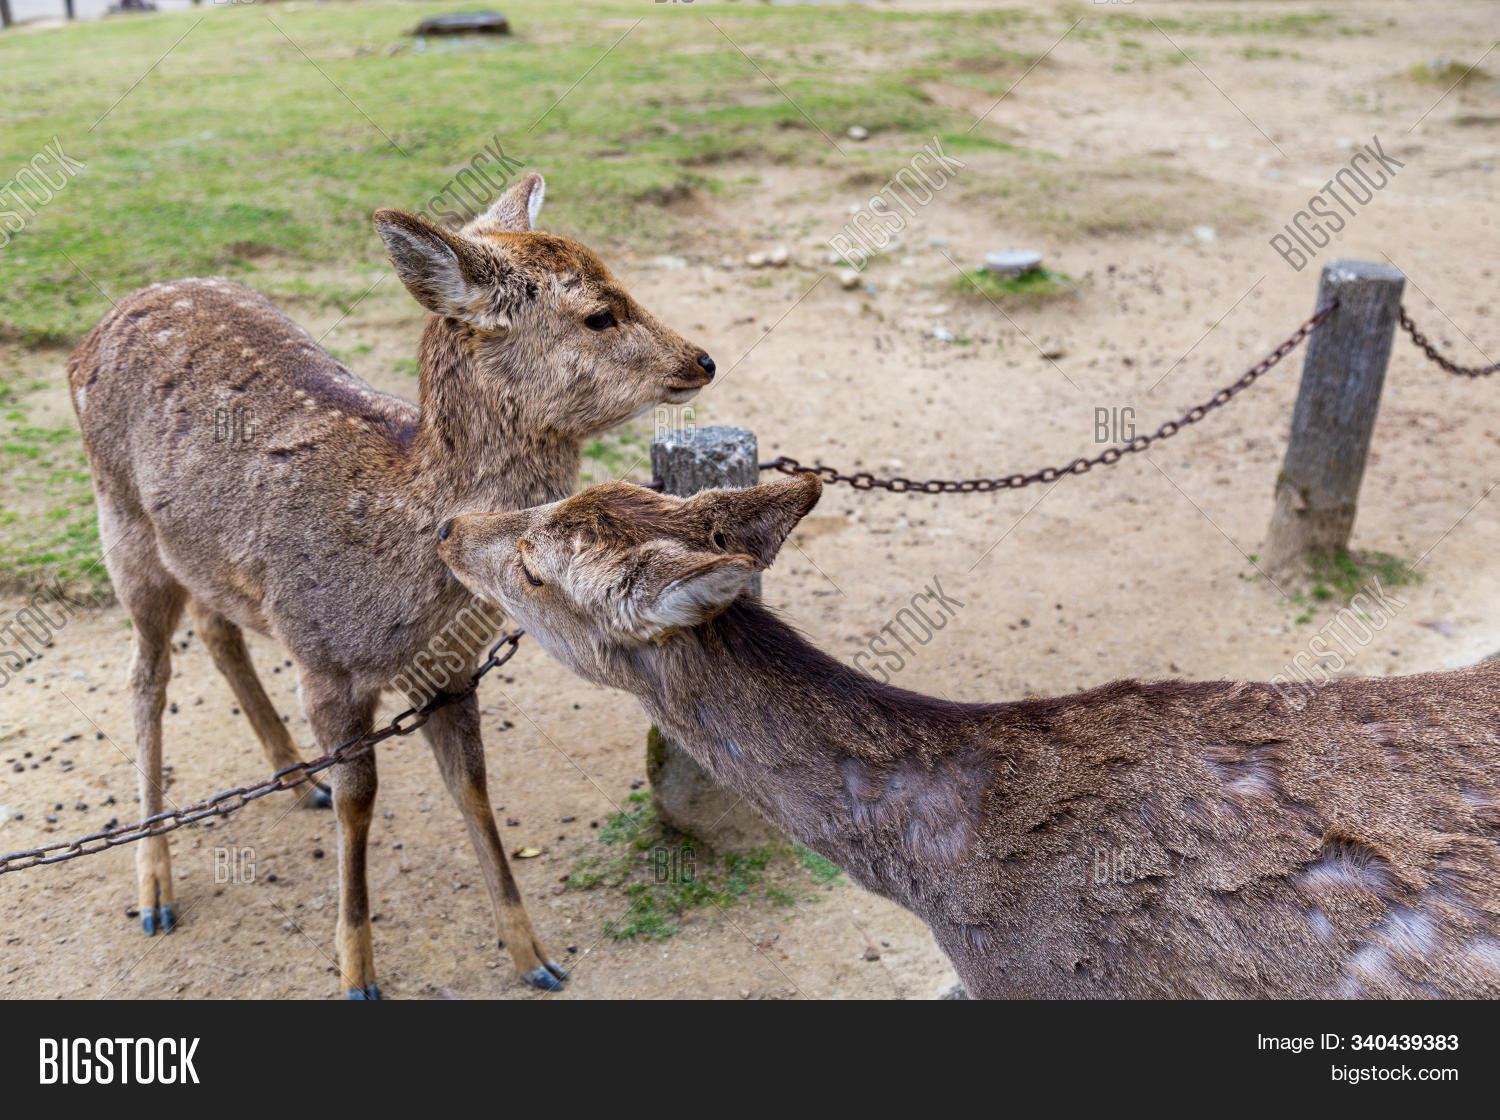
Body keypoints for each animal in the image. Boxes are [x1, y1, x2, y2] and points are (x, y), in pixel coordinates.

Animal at [67, 171, 716, 998]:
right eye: (599, 313)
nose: (702, 360)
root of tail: (100, 324)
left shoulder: (450, 669)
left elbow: (473, 788)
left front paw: (535, 958)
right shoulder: (323, 659)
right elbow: (360, 806)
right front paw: (357, 974)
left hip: (204, 554)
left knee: (214, 627)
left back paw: (293, 777)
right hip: (119, 520)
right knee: (146, 676)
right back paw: (155, 887)